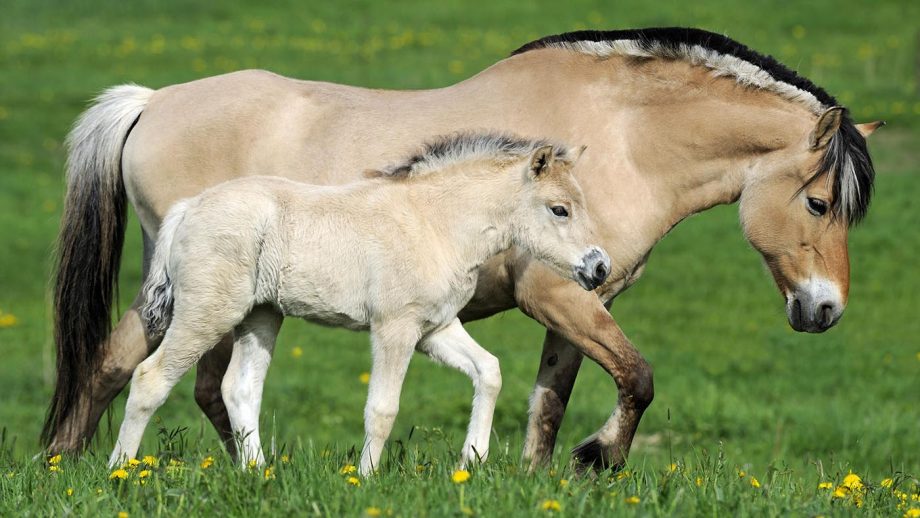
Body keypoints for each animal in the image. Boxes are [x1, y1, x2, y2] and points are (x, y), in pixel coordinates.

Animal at [107, 134, 611, 474]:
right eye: (560, 209)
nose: (600, 267)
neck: (434, 223)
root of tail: (188, 208)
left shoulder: (436, 327)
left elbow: (489, 371)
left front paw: (471, 462)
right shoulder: (395, 328)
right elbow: (382, 409)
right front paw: (366, 479)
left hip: (261, 315)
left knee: (241, 389)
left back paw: (258, 473)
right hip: (206, 313)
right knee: (150, 378)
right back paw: (119, 471)